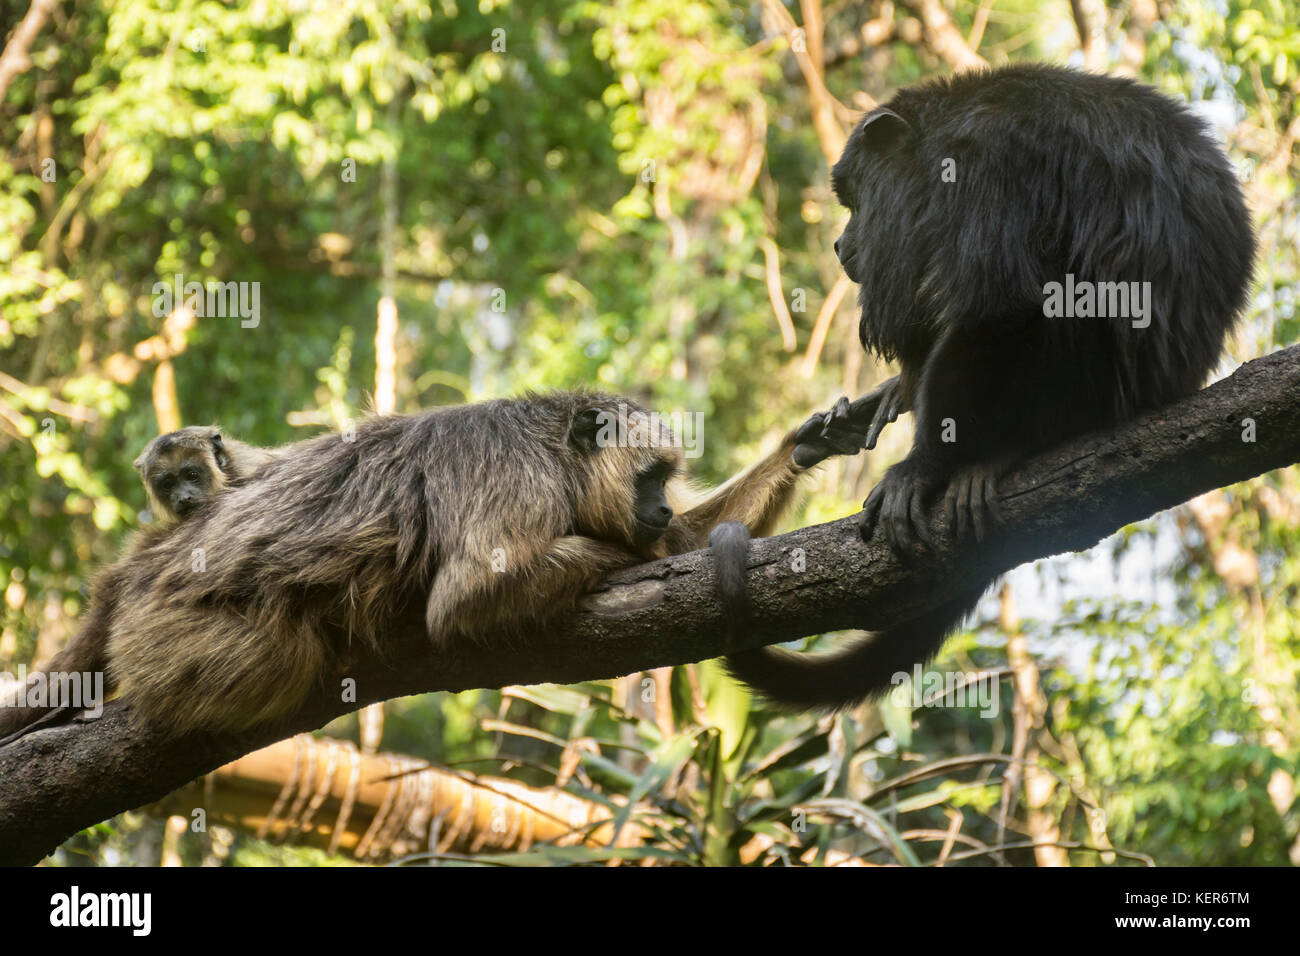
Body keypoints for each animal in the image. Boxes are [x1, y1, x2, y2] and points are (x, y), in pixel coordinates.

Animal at [0, 391, 862, 742]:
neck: (554, 449)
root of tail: (135, 577)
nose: (652, 508)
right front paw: (617, 554)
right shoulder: (516, 476)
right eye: (648, 474)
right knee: (284, 652)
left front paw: (806, 443)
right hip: (169, 631)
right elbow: (464, 599)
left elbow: (684, 543)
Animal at [727, 64, 1256, 711]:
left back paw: (1002, 452)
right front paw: (893, 393)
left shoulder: (983, 161)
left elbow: (999, 305)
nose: (839, 243)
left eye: (855, 200)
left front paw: (922, 468)